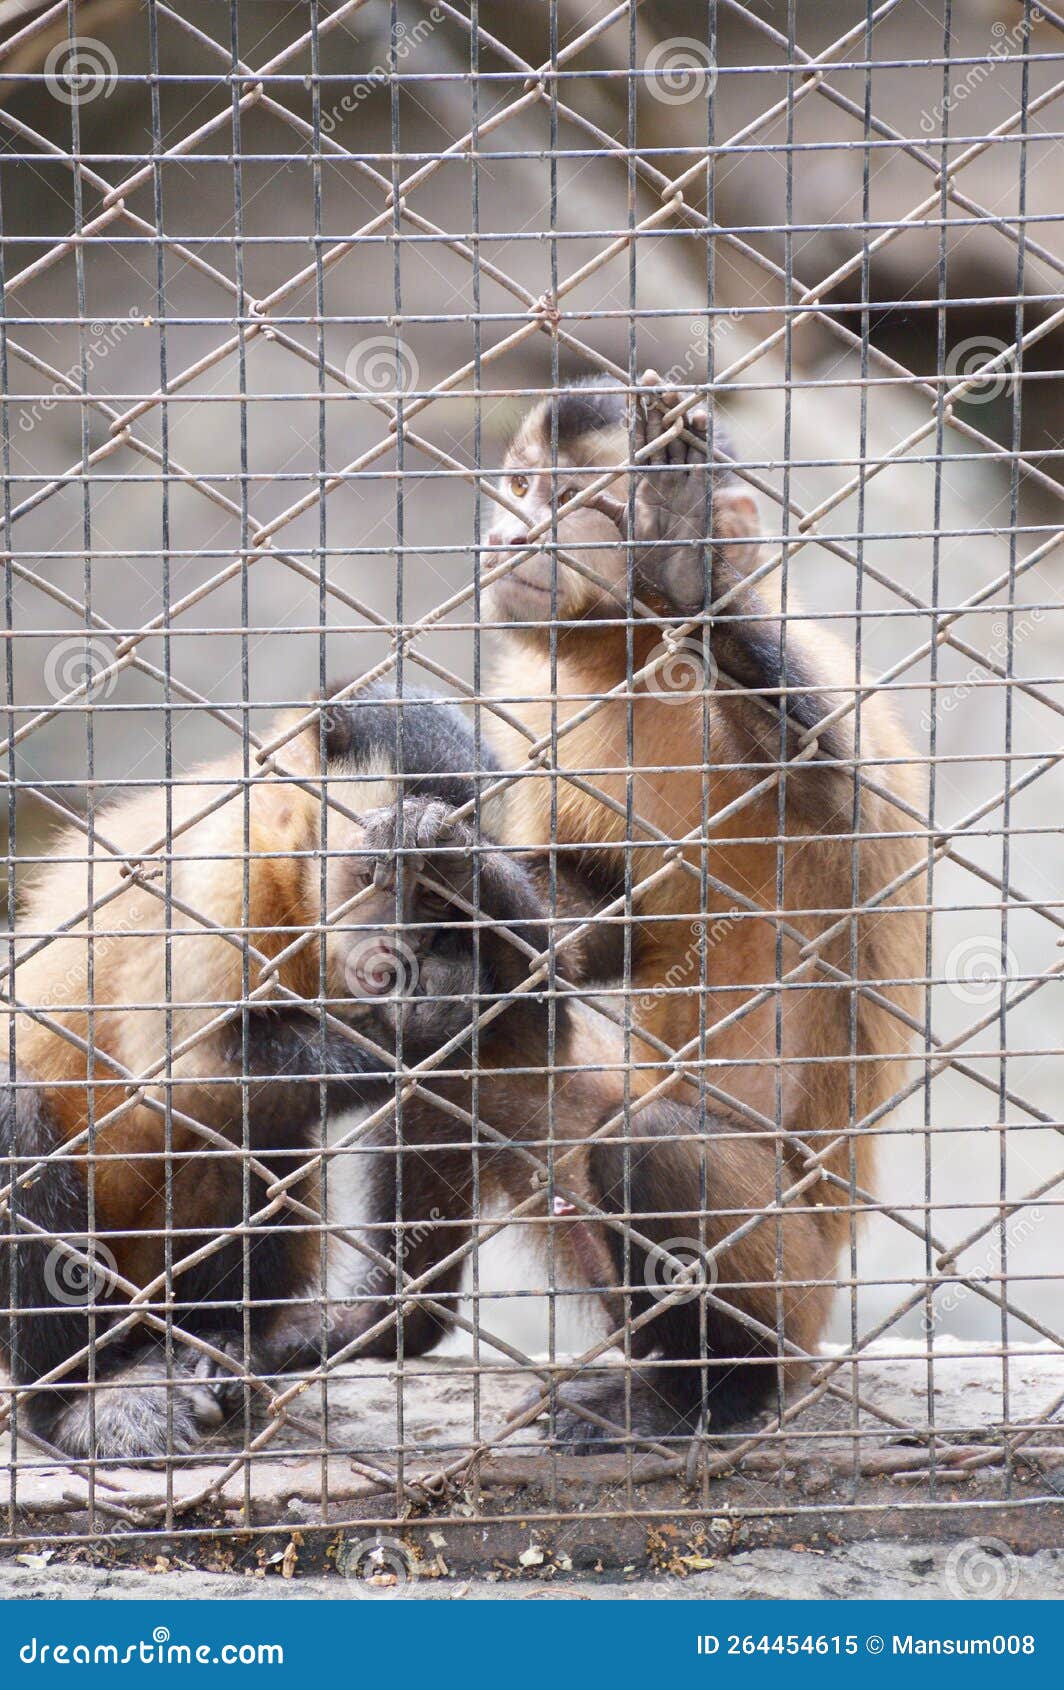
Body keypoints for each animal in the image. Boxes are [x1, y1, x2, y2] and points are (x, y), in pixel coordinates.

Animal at [479, 370, 926, 1447]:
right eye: (520, 487)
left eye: (573, 504)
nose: (509, 535)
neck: (634, 661)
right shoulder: (540, 702)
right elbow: (596, 908)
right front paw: (468, 888)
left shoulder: (826, 682)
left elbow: (830, 789)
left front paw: (688, 561)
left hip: (802, 1281)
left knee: (651, 1146)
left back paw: (715, 1394)